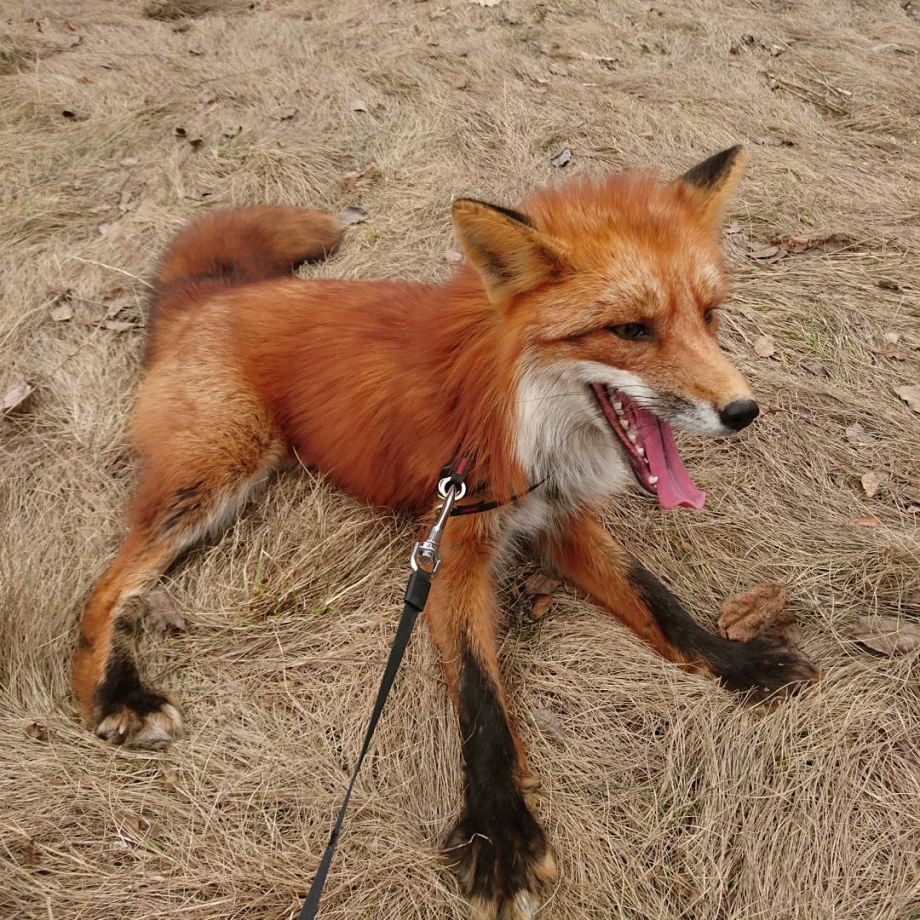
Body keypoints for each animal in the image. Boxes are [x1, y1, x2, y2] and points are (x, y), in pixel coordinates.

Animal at [73, 145, 818, 918]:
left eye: (709, 316)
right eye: (632, 330)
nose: (743, 411)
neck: (522, 418)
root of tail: (214, 298)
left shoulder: (559, 518)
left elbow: (657, 602)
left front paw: (737, 663)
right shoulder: (449, 546)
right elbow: (481, 695)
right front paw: (500, 834)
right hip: (213, 479)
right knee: (104, 591)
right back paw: (116, 695)